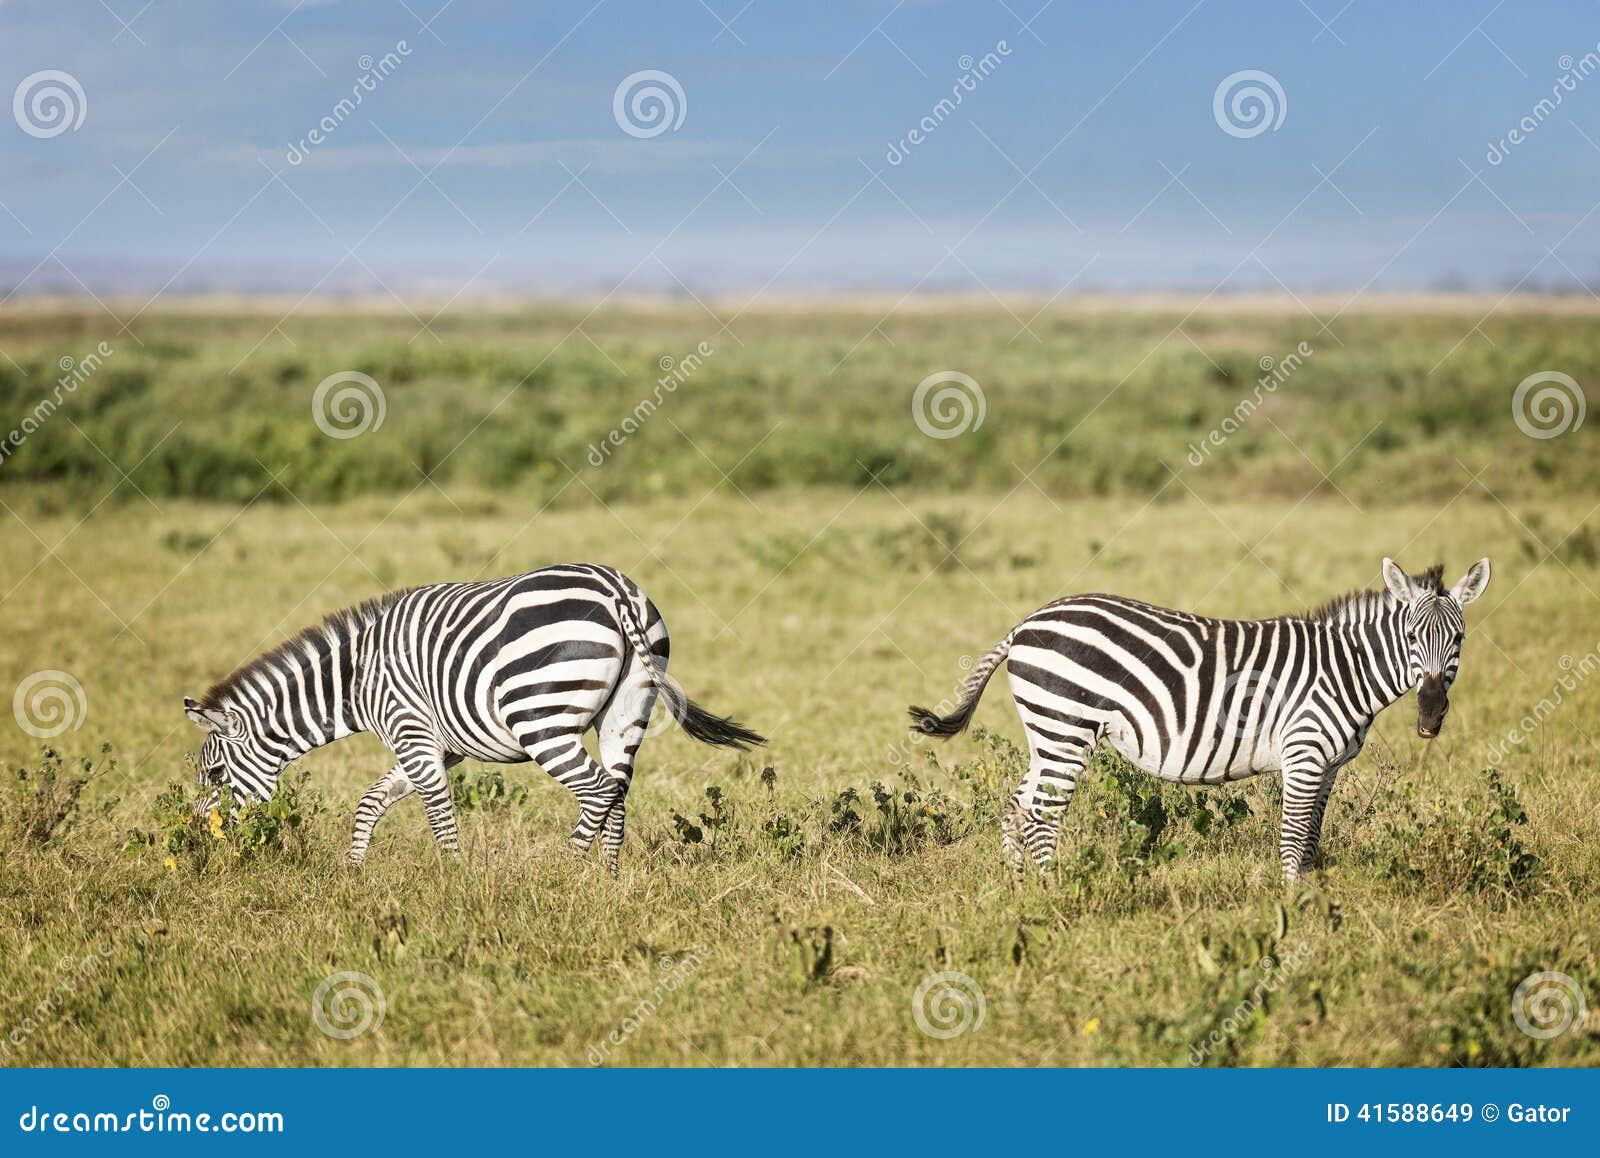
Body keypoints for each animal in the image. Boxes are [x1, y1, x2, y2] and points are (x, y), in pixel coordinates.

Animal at [183, 563, 763, 874]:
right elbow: (370, 802)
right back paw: (607, 879)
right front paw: (351, 874)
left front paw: (453, 880)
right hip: (626, 713)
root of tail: (615, 589)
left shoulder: (410, 731)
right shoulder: (439, 744)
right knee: (617, 790)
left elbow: (437, 811)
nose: (201, 845)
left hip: (540, 716)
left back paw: (565, 873)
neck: (356, 681)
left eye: (214, 775)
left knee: (598, 789)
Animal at [908, 557, 1491, 882]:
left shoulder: (1327, 766)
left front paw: (1307, 898)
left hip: (1047, 732)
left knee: (1016, 807)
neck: (1343, 670)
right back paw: (1055, 899)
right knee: (1040, 816)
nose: (1430, 716)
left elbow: (1312, 837)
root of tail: (1026, 624)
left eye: (1460, 639)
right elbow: (1292, 835)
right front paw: (1289, 907)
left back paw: (1020, 892)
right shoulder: (1303, 754)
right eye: (1412, 637)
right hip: (1065, 728)